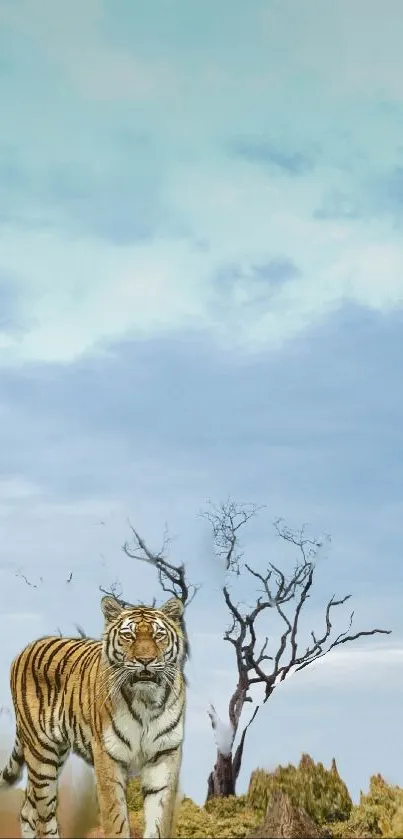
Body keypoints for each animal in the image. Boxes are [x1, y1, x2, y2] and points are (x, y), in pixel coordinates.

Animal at [0, 594, 188, 839]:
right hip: (41, 755)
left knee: (27, 811)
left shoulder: (165, 754)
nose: (145, 660)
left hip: (56, 753)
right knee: (44, 814)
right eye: (128, 636)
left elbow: (159, 818)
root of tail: (27, 647)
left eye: (159, 635)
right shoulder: (108, 756)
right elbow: (116, 819)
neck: (146, 700)